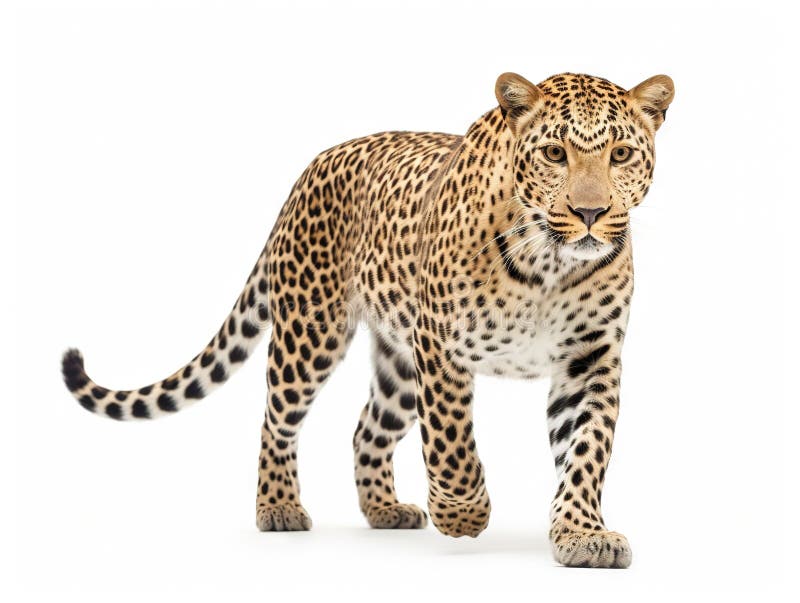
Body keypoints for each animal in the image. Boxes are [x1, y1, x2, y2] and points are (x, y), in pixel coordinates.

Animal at [62, 71, 674, 568]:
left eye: (621, 154)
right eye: (553, 153)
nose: (590, 213)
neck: (550, 264)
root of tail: (309, 172)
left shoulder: (589, 359)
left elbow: (586, 451)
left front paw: (583, 534)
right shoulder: (440, 346)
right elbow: (451, 444)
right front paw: (464, 515)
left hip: (398, 364)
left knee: (367, 429)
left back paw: (383, 508)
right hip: (311, 330)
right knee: (276, 419)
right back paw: (278, 507)